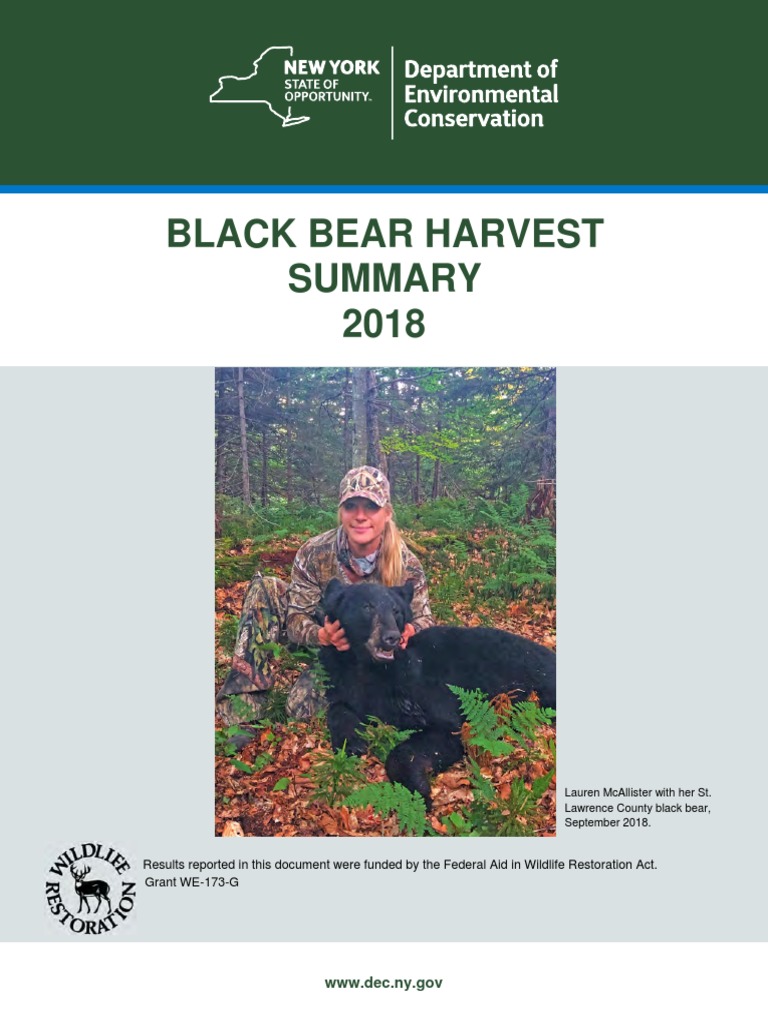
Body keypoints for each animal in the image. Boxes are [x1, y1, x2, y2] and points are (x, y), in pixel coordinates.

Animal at [320, 578, 556, 806]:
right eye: (367, 606)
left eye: (396, 610)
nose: (392, 637)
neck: (369, 669)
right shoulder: (344, 681)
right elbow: (338, 707)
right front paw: (352, 741)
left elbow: (441, 731)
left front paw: (417, 790)